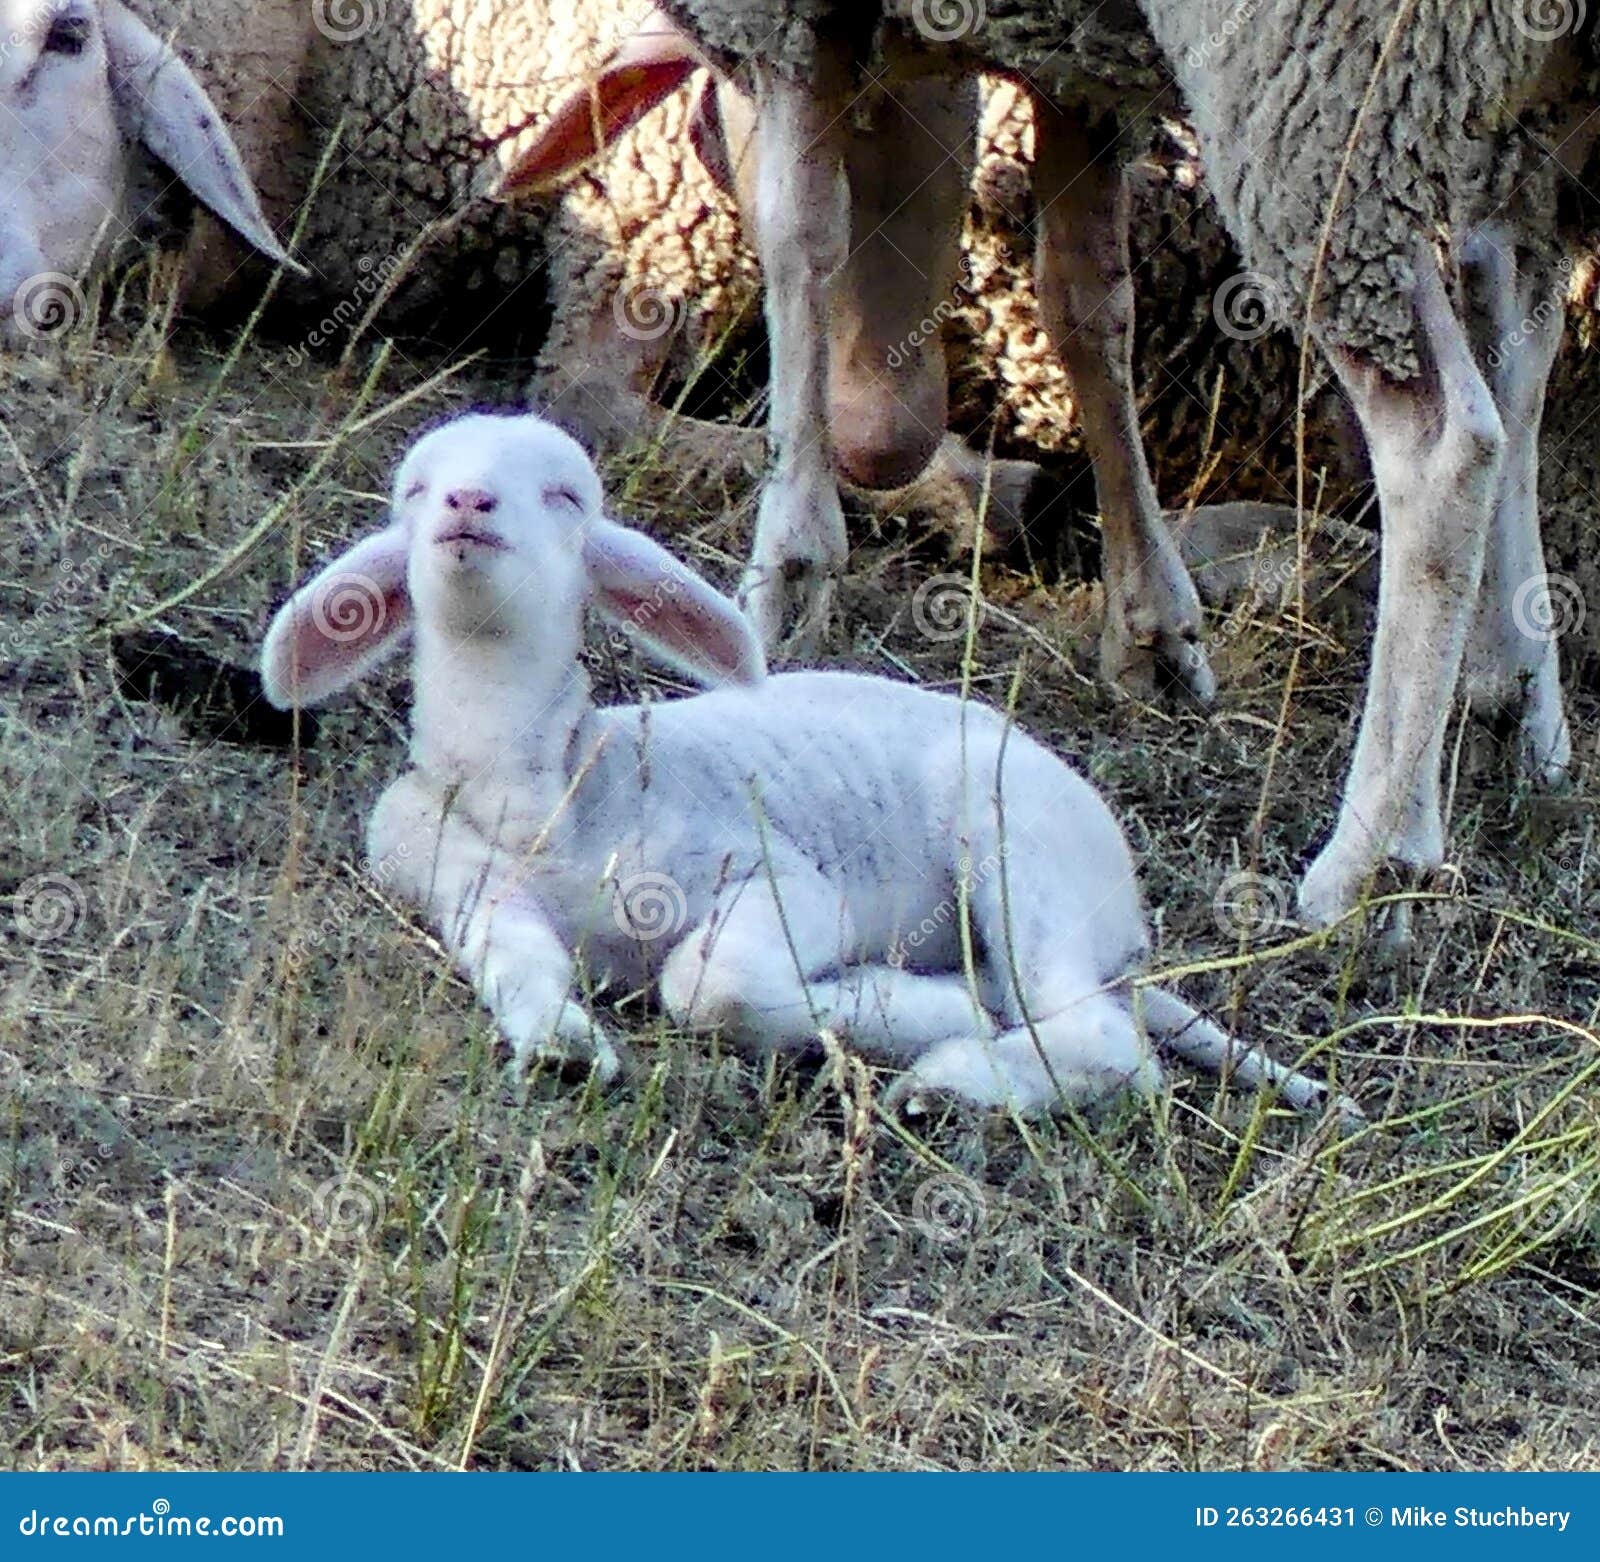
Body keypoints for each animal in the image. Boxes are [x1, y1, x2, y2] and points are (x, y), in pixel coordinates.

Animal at [258, 408, 1359, 1123]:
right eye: (412, 488)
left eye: (566, 494)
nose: (468, 501)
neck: (552, 785)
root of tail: (1124, 926)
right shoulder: (462, 888)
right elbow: (520, 967)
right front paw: (564, 1045)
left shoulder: (778, 879)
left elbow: (705, 985)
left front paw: (905, 1006)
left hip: (1021, 847)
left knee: (1102, 1039)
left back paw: (951, 1076)